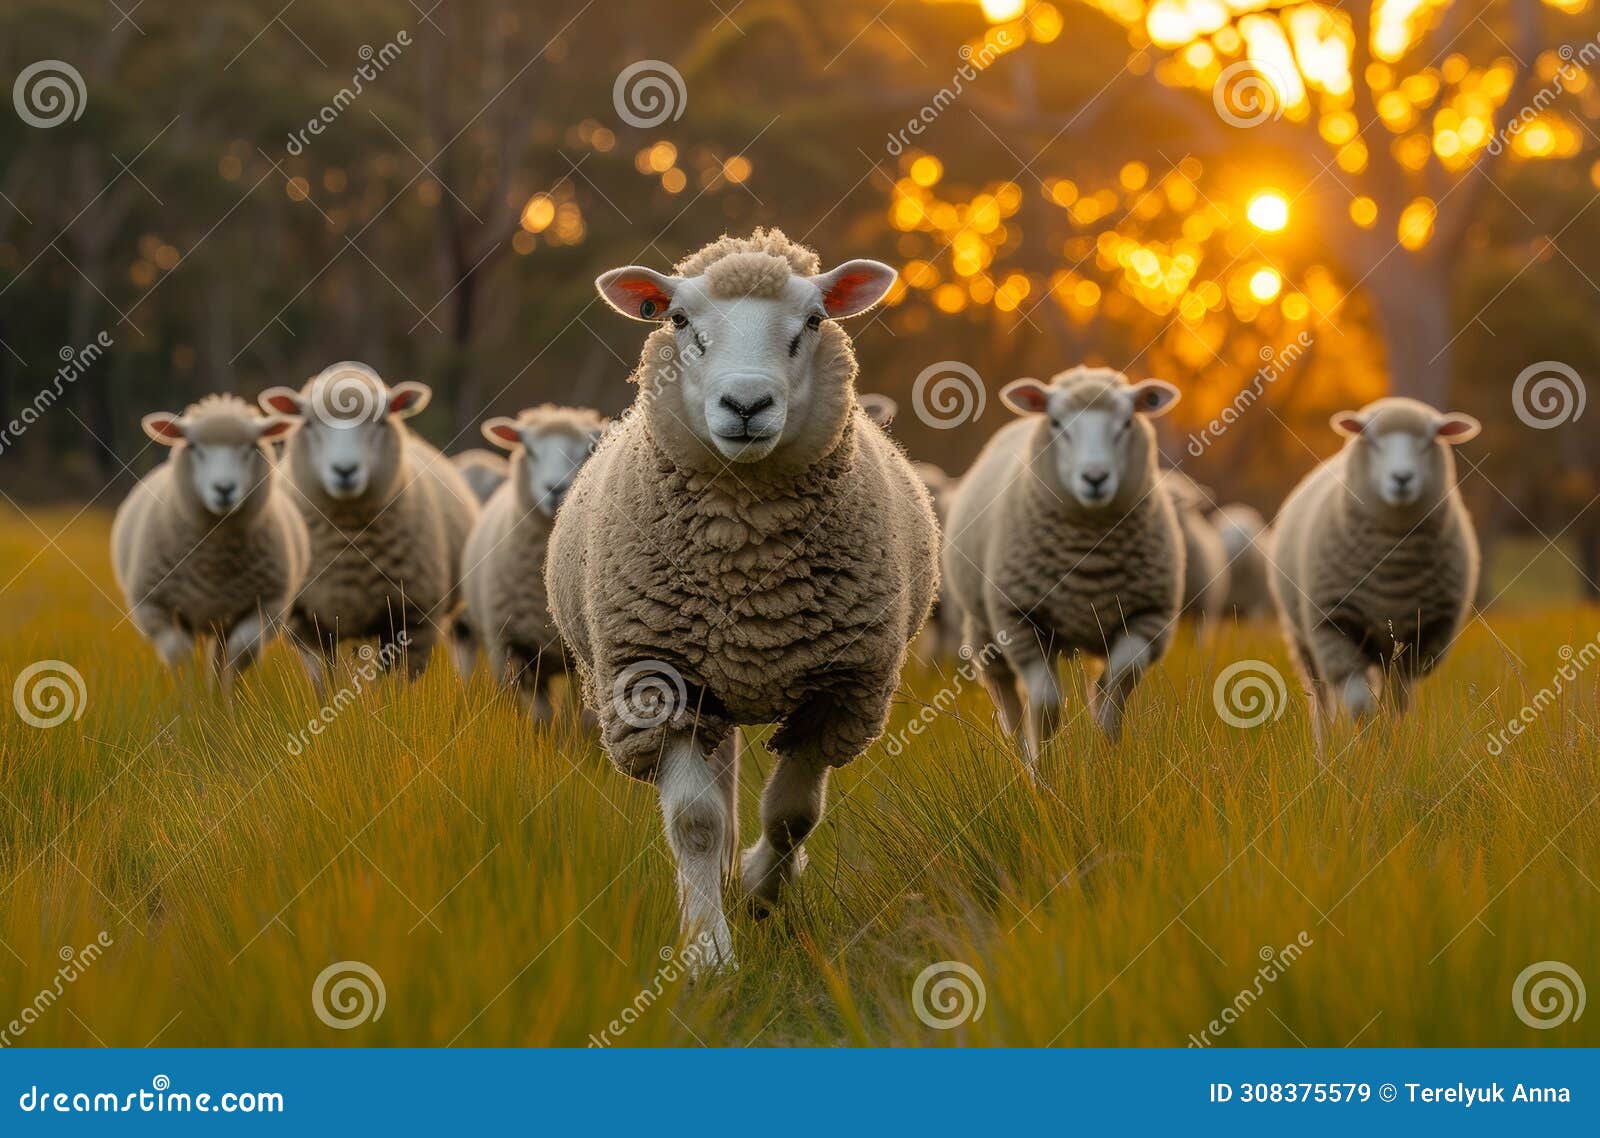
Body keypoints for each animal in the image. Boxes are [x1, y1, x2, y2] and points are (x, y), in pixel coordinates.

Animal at [110, 395, 307, 691]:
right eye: (194, 447)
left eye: (250, 447)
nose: (224, 489)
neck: (214, 562)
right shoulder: (154, 607)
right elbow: (181, 657)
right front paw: (192, 700)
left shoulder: (268, 605)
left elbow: (241, 651)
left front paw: (226, 701)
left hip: (220, 620)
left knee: (219, 656)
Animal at [258, 362, 480, 687]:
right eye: (309, 423)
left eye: (381, 421)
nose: (345, 470)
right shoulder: (305, 626)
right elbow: (324, 682)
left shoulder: (412, 621)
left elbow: (396, 684)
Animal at [547, 228, 938, 968]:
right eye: (678, 320)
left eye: (813, 320)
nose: (748, 405)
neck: (748, 566)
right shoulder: (654, 682)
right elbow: (695, 822)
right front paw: (708, 950)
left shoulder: (839, 691)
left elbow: (792, 815)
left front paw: (761, 894)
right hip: (705, 690)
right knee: (717, 798)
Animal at [942, 366, 1184, 770]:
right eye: (1056, 423)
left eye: (1127, 422)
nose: (1095, 478)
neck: (1090, 557)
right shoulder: (1019, 621)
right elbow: (1045, 703)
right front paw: (1042, 772)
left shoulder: (1150, 617)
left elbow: (1119, 680)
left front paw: (1107, 748)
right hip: (983, 626)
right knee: (1005, 694)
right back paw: (1018, 749)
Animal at [1269, 397, 1480, 740]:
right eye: (1371, 439)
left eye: (1429, 440)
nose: (1402, 478)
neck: (1392, 570)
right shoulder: (1334, 623)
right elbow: (1359, 704)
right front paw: (1367, 746)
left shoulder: (1423, 636)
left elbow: (1396, 704)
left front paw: (1389, 743)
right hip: (1303, 637)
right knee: (1322, 699)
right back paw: (1324, 746)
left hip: (1386, 645)